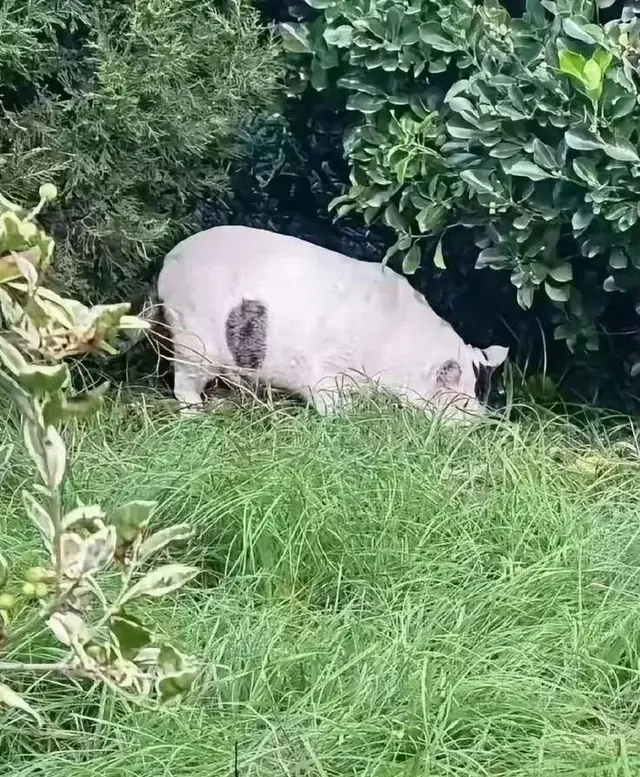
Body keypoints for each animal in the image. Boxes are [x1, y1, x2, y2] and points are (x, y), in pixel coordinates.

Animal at [141, 225, 508, 419]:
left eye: (482, 394)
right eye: (462, 400)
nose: (478, 422)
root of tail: (166, 263)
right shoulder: (328, 368)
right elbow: (329, 401)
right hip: (191, 335)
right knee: (184, 380)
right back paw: (197, 414)